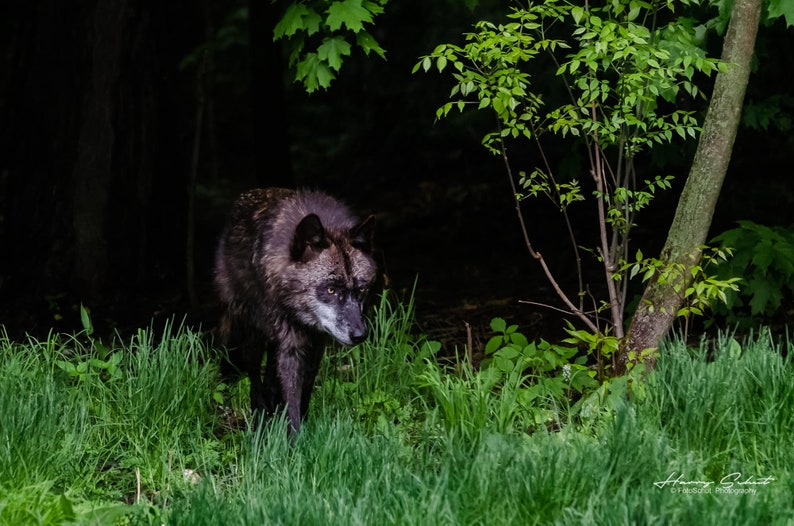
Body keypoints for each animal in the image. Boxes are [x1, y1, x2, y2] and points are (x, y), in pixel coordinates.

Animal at [214, 188, 376, 434]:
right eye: (330, 289)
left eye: (361, 290)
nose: (360, 335)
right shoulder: (290, 344)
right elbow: (290, 398)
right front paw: (294, 440)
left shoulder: (316, 343)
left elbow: (303, 392)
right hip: (253, 334)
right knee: (254, 376)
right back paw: (260, 419)